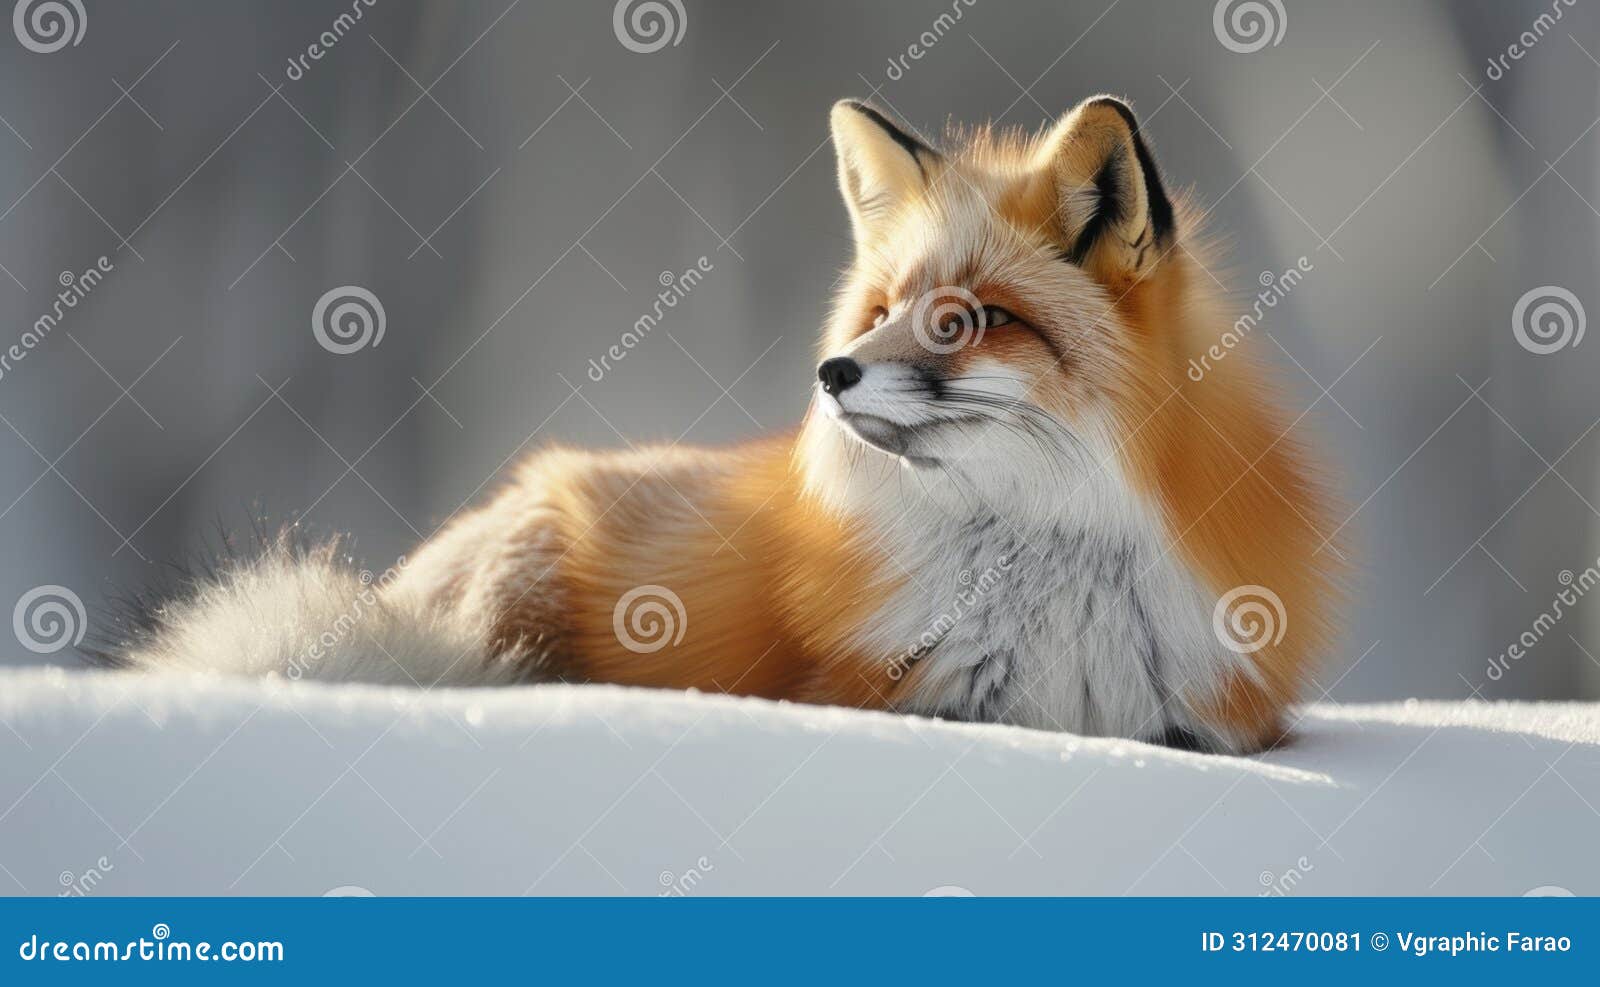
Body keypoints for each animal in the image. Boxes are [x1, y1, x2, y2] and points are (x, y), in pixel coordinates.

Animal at [112, 96, 1340, 754]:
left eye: (963, 319)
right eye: (879, 312)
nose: (832, 373)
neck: (1051, 588)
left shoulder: (1217, 720)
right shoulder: (894, 698)